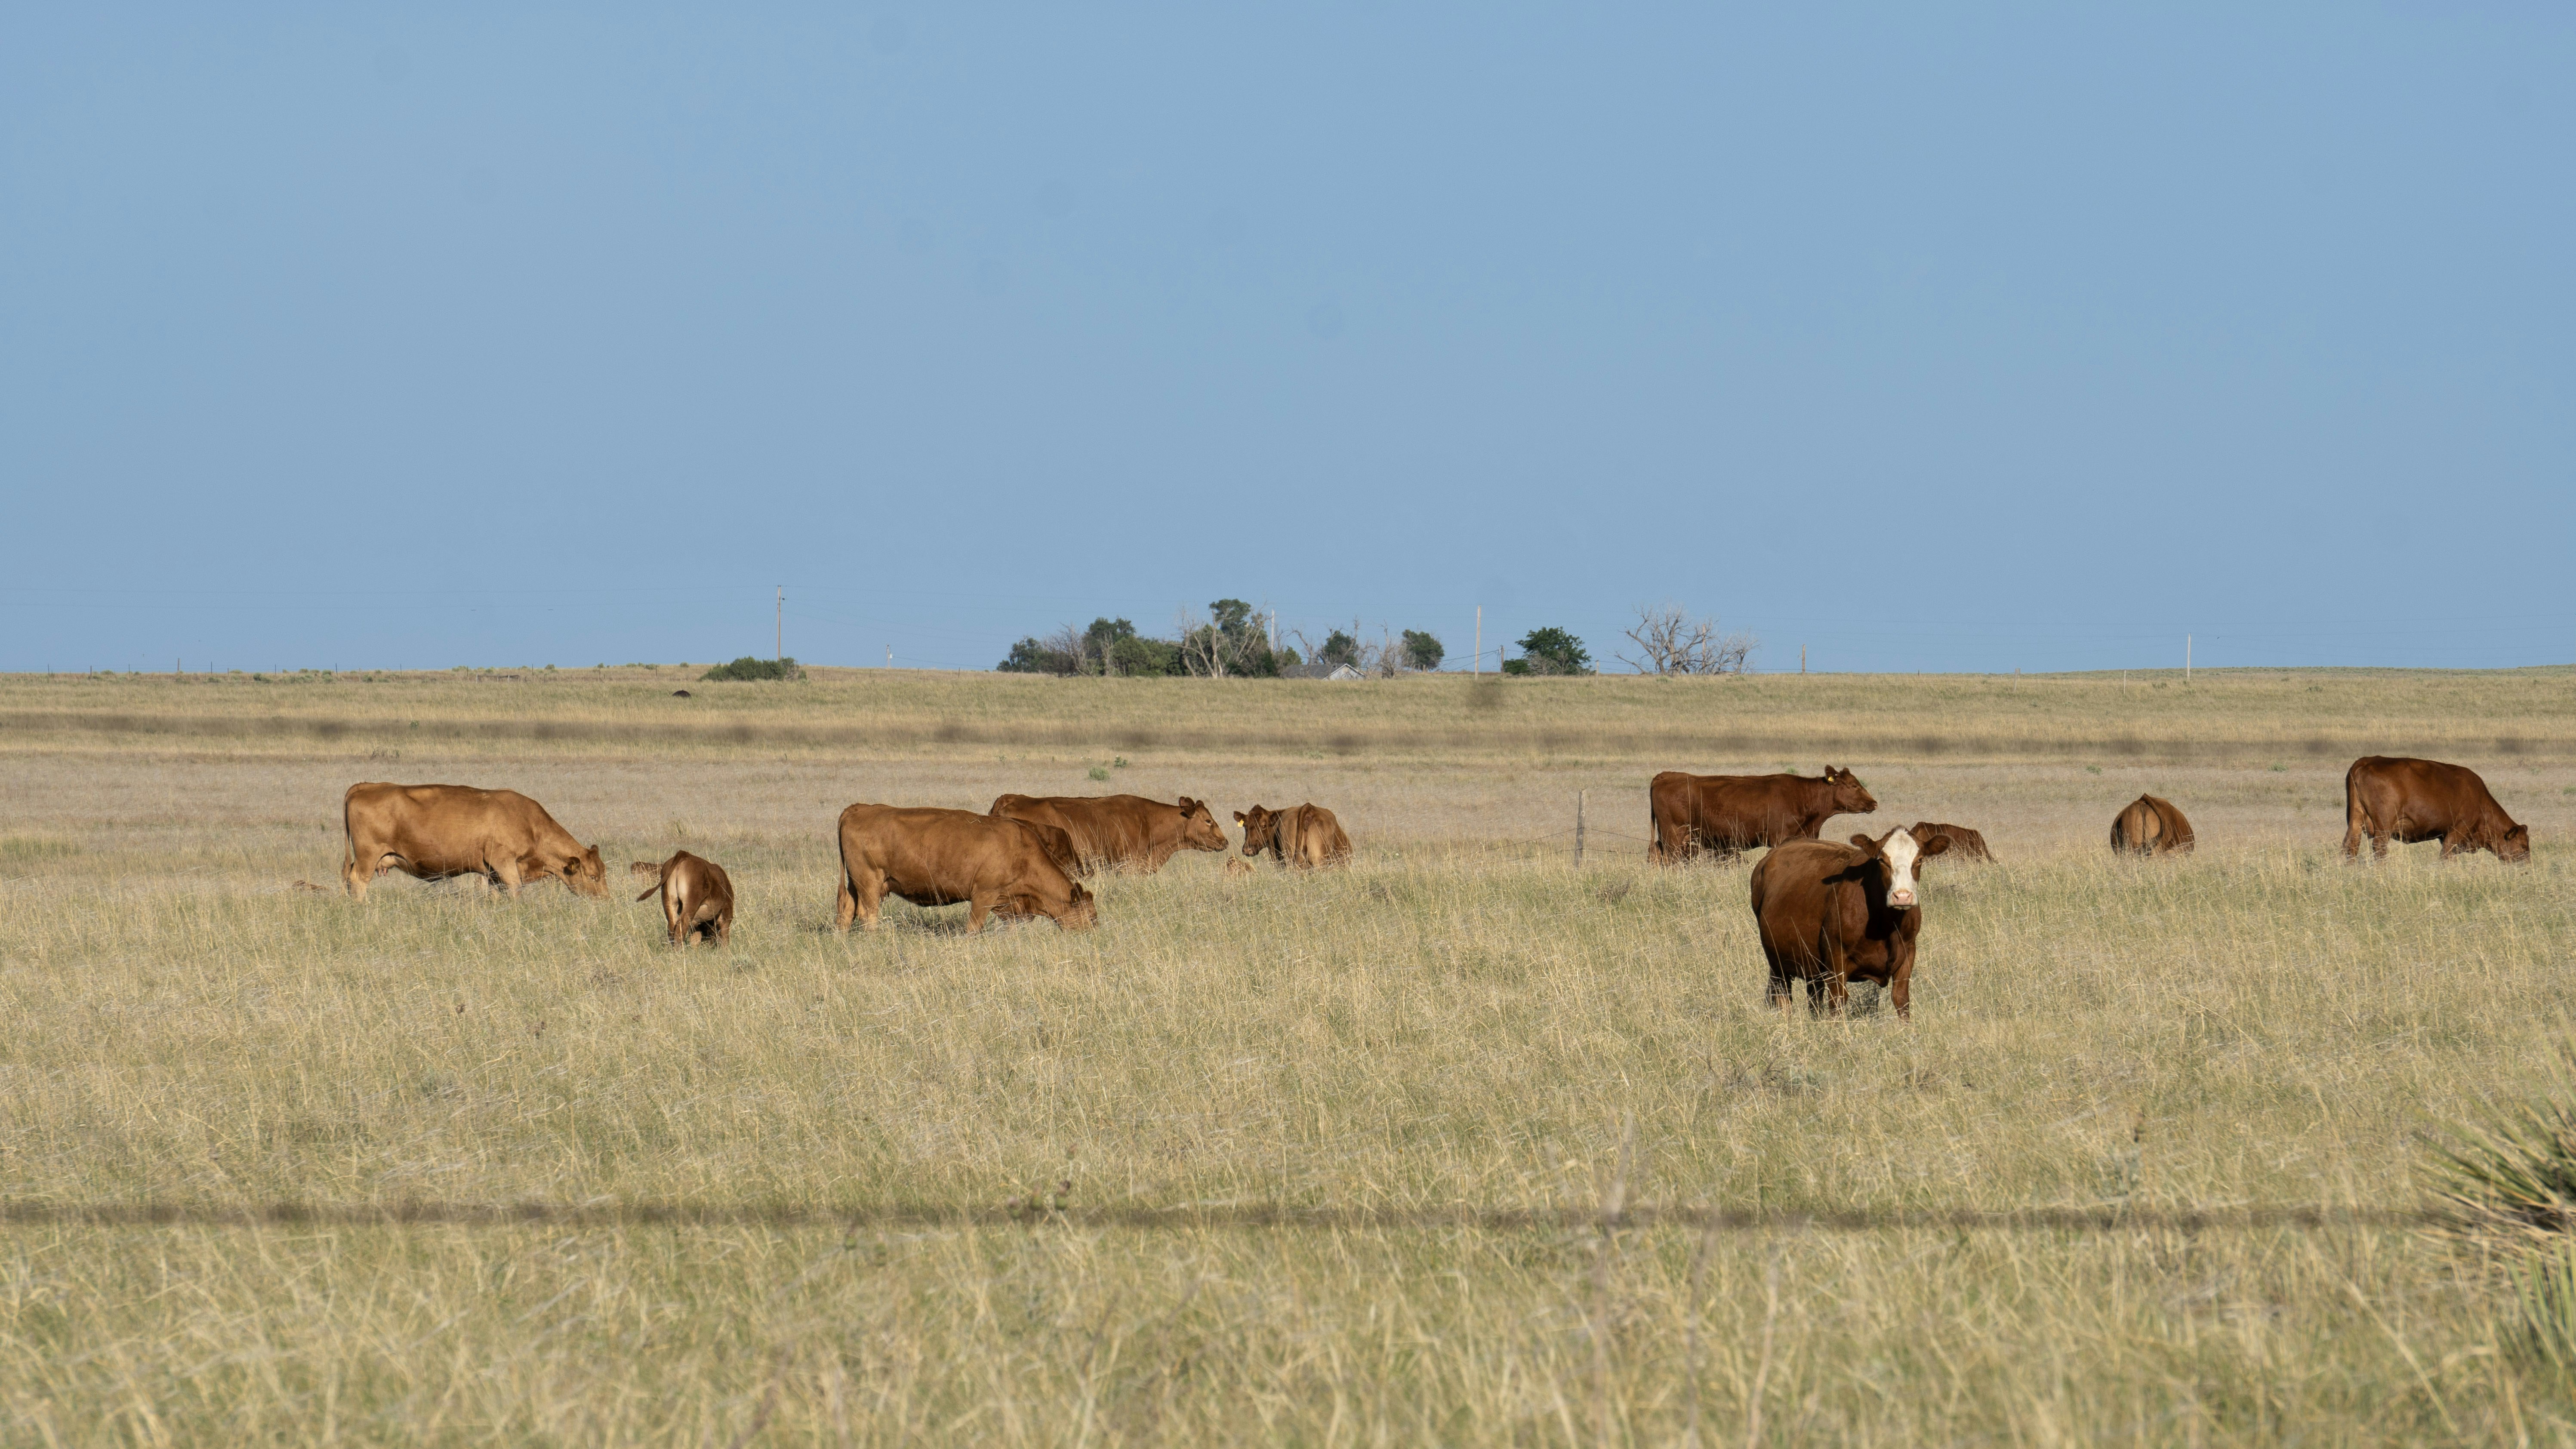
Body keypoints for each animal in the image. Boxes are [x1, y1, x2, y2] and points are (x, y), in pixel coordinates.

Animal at [340, 782, 607, 900]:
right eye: (593, 877)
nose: (606, 900)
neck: (530, 824)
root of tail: (366, 787)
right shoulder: (504, 863)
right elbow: (516, 891)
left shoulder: (493, 874)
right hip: (368, 857)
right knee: (358, 882)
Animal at [630, 851, 736, 946]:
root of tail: (685, 855)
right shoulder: (726, 916)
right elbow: (724, 940)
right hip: (690, 906)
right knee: (680, 928)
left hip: (669, 902)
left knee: (671, 928)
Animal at [835, 804, 1096, 933]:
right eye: (1092, 917)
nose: (1093, 934)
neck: (1021, 850)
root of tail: (859, 808)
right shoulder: (984, 895)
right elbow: (973, 928)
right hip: (870, 882)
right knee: (868, 916)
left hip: (855, 882)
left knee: (847, 909)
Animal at [1749, 826, 1953, 1019]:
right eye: (1882, 861)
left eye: (1919, 860)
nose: (1902, 896)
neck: (1888, 927)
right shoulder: (1836, 956)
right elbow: (1838, 1002)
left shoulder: (1909, 951)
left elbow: (1901, 999)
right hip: (1776, 959)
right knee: (1783, 996)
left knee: (1814, 996)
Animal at [2342, 756, 2531, 863]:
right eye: (2523, 846)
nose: (2528, 865)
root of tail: (2366, 761)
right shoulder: (2457, 831)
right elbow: (2446, 856)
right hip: (2384, 827)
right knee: (2379, 848)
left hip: (2356, 821)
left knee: (2351, 845)